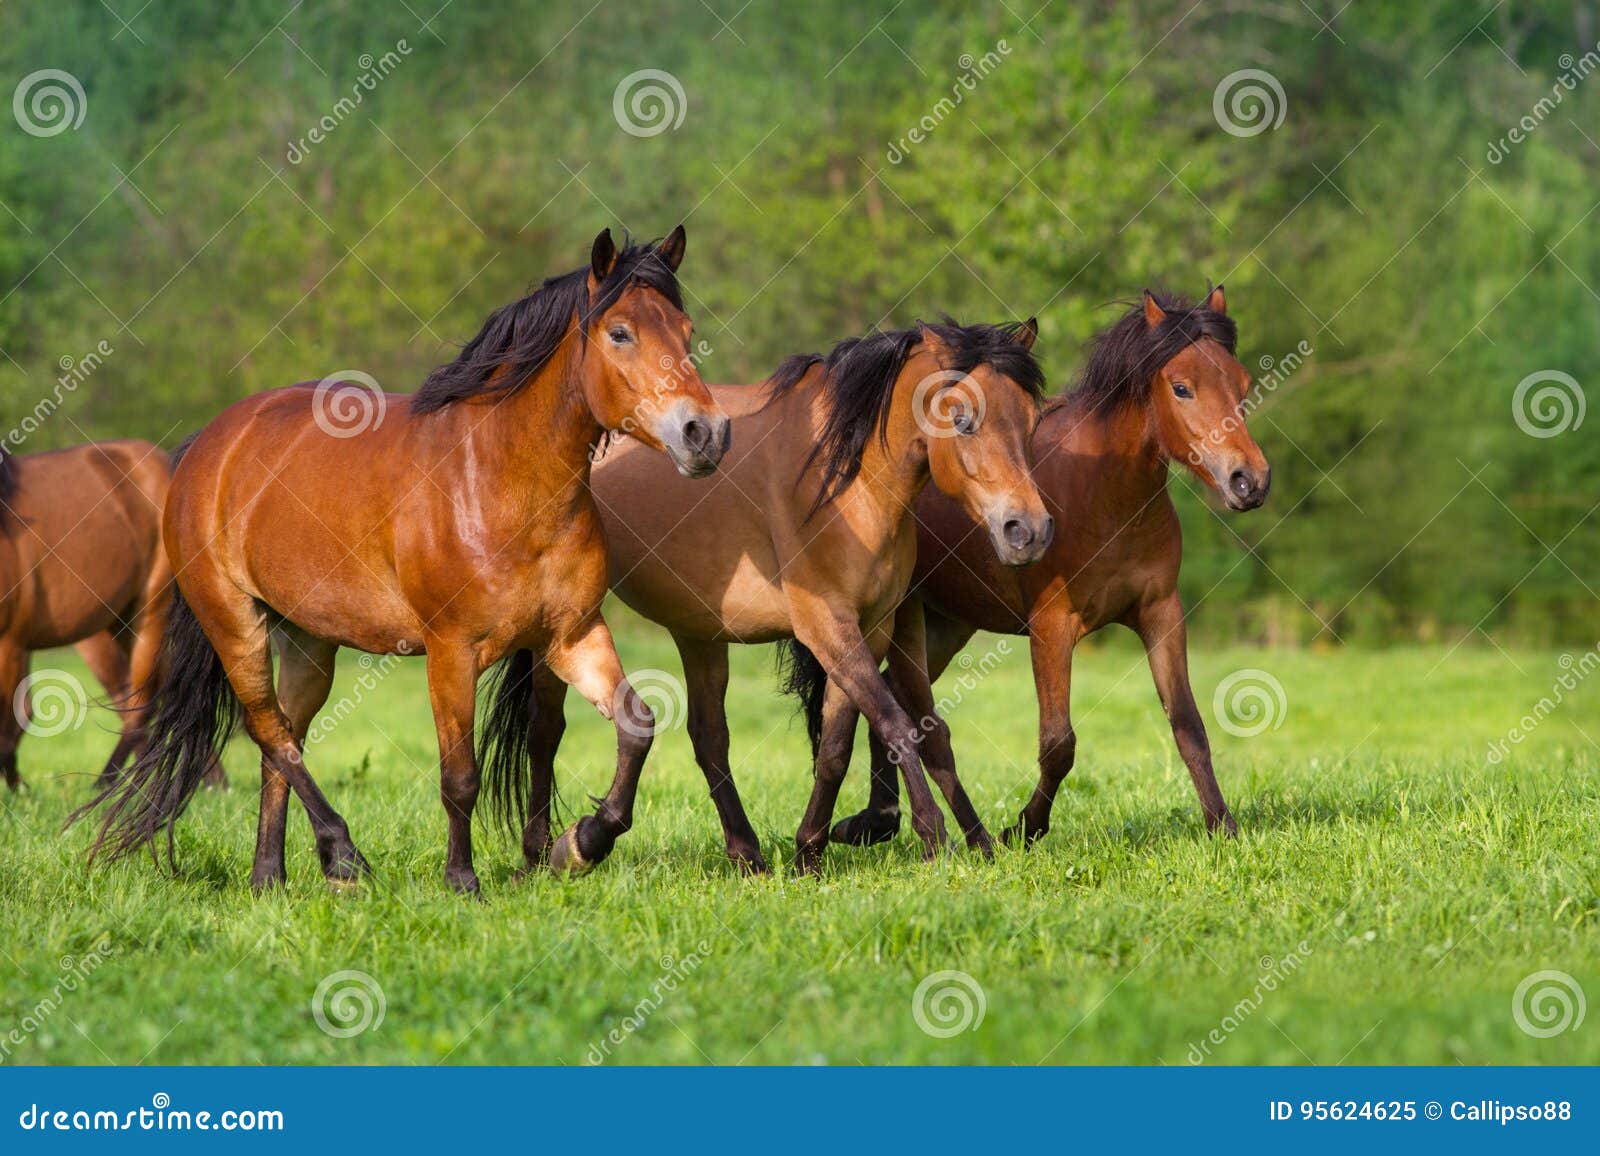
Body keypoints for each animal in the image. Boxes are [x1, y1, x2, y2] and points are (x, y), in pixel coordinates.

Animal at [0, 441, 224, 791]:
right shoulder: (19, 645)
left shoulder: (9, 641)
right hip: (113, 629)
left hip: (149, 616)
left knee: (142, 704)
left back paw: (107, 783)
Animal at [79, 227, 730, 894]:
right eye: (620, 332)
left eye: (686, 330)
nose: (705, 433)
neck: (497, 480)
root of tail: (208, 447)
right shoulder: (452, 651)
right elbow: (460, 775)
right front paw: (463, 881)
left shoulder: (571, 635)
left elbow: (637, 725)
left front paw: (579, 844)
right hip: (234, 623)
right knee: (269, 731)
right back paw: (342, 856)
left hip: (308, 642)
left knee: (285, 738)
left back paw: (270, 876)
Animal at [490, 318, 1054, 875]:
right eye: (962, 420)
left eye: (1030, 422)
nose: (1028, 530)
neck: (844, 481)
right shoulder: (827, 626)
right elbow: (895, 724)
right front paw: (935, 838)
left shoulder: (868, 631)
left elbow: (837, 746)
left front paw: (809, 852)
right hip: (569, 627)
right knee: (546, 729)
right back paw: (547, 850)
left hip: (696, 631)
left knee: (708, 735)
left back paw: (745, 853)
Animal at [824, 288, 1271, 849]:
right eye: (1182, 387)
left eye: (1242, 385)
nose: (1249, 480)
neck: (1105, 495)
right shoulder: (1053, 627)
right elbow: (1058, 744)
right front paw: (1025, 826)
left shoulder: (1160, 613)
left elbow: (1189, 725)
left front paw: (1222, 825)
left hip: (947, 627)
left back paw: (872, 821)